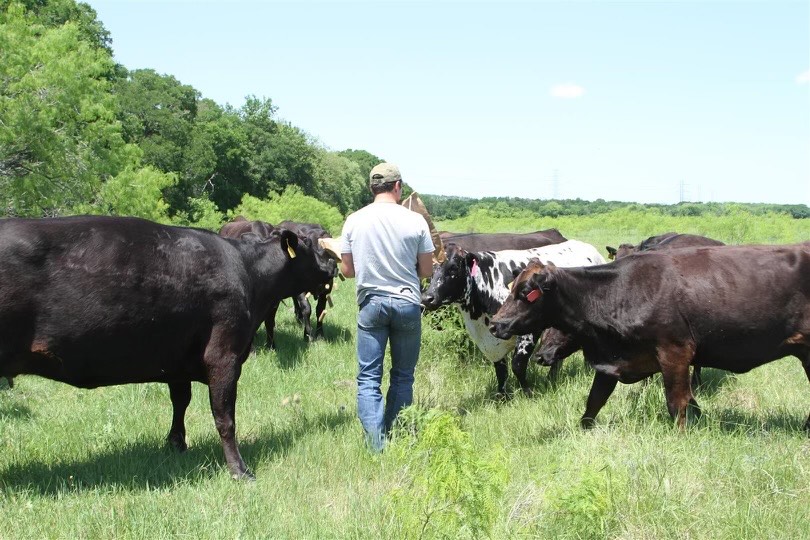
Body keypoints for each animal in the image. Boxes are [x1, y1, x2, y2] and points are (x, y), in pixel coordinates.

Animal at [0, 215, 337, 479]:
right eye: (309, 247)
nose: (333, 266)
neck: (248, 273)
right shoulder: (224, 356)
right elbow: (224, 417)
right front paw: (239, 470)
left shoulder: (178, 360)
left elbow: (181, 401)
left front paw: (177, 443)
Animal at [421, 240, 605, 396]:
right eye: (431, 270)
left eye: (453, 268)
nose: (427, 298)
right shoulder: (491, 340)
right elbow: (500, 370)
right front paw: (502, 396)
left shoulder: (529, 331)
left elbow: (517, 364)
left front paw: (528, 393)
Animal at [490, 244, 810, 431]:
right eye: (511, 288)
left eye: (525, 293)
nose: (495, 324)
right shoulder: (610, 362)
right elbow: (593, 402)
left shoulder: (675, 353)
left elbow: (677, 403)